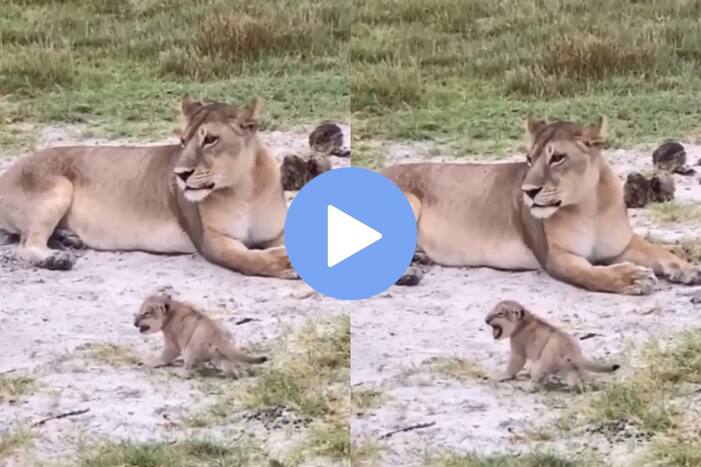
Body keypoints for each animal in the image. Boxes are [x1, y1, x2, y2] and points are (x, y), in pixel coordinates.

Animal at [0, 96, 295, 278]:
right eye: (183, 140)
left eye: (210, 139)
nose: (181, 174)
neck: (244, 189)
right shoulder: (211, 241)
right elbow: (251, 259)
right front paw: (285, 263)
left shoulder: (276, 233)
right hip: (58, 187)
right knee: (25, 245)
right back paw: (56, 258)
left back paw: (69, 239)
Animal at [383, 117, 699, 295]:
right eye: (529, 158)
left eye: (557, 157)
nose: (529, 191)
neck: (589, 205)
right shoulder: (555, 258)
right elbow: (592, 274)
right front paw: (633, 278)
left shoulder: (621, 245)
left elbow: (658, 251)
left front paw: (687, 268)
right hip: (409, 199)